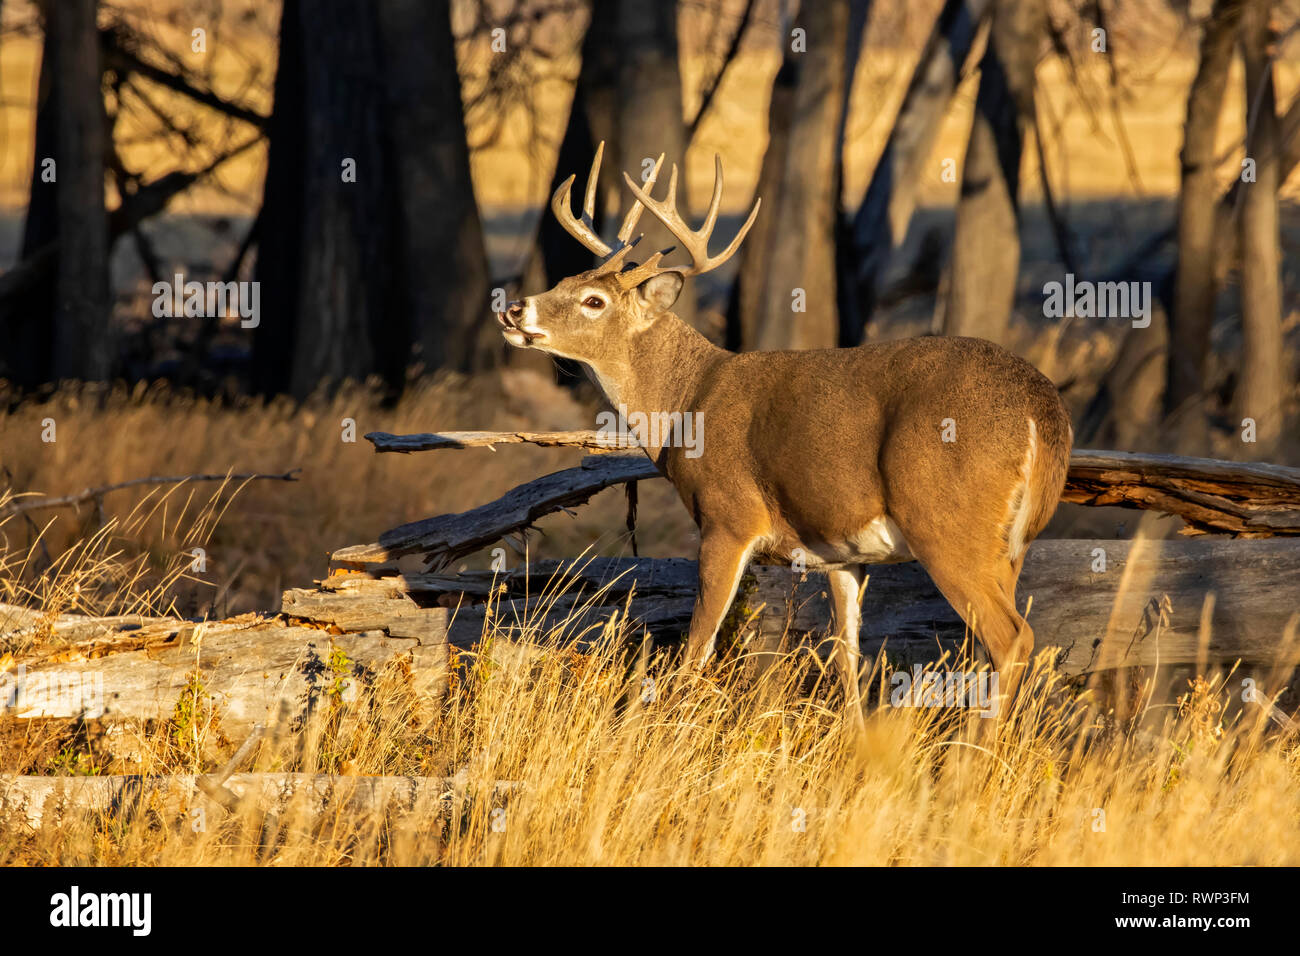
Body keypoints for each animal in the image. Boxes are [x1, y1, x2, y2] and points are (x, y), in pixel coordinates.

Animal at [498, 143, 1073, 715]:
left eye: (594, 301)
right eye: (564, 282)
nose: (514, 308)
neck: (687, 403)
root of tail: (1042, 410)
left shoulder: (729, 516)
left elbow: (697, 647)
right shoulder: (844, 553)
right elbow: (846, 657)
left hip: (946, 522)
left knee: (1012, 637)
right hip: (1012, 545)